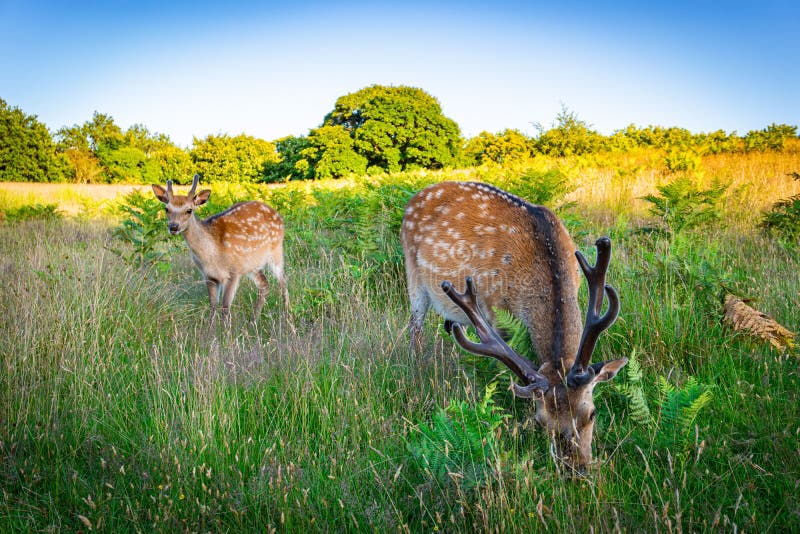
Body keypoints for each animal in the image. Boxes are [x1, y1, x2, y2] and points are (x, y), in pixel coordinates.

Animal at [152, 174, 289, 323]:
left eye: (189, 210)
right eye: (166, 209)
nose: (173, 227)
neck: (212, 255)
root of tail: (277, 214)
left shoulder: (233, 272)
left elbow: (225, 308)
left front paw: (226, 329)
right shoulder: (209, 276)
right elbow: (213, 307)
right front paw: (210, 329)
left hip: (276, 251)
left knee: (283, 280)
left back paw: (287, 315)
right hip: (252, 265)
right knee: (264, 285)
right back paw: (253, 321)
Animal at [400, 181, 627, 472]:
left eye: (592, 413)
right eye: (541, 422)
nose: (575, 468)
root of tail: (417, 196)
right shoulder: (495, 312)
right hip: (413, 276)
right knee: (414, 330)